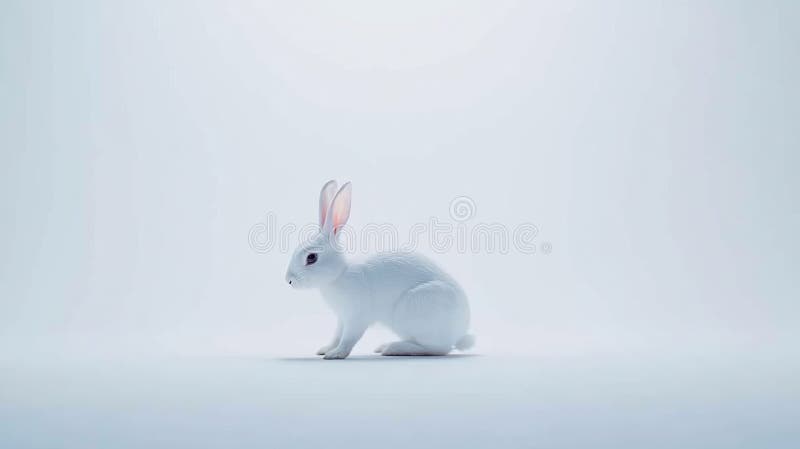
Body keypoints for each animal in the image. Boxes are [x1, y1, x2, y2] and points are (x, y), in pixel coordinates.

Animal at [285, 180, 475, 359]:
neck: (339, 275)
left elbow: (348, 338)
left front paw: (336, 354)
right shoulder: (342, 318)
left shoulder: (356, 317)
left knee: (437, 349)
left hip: (416, 309)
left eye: (311, 258)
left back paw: (393, 348)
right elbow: (337, 336)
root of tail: (459, 334)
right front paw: (325, 349)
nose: (289, 280)